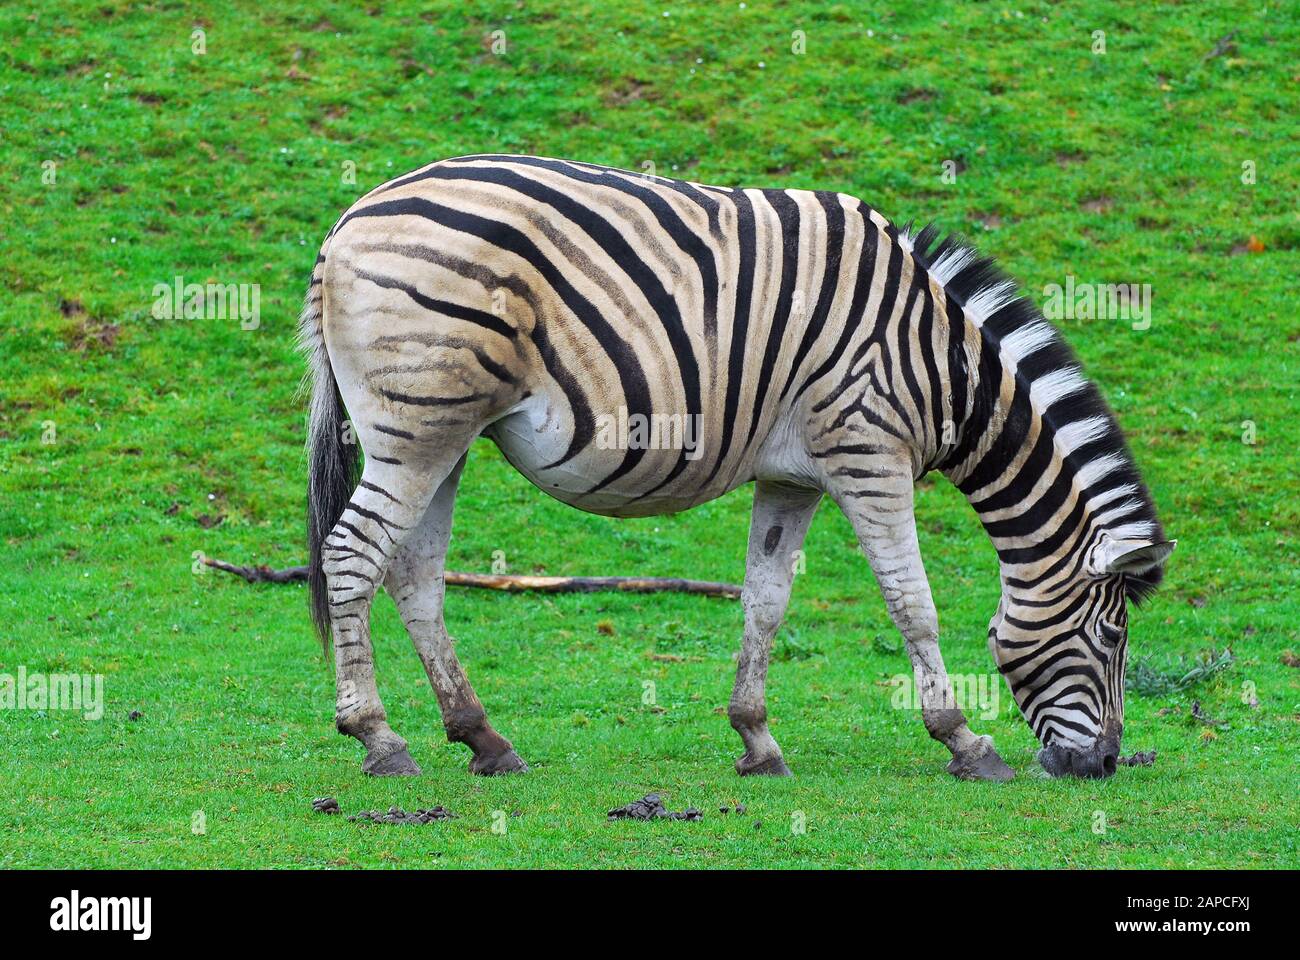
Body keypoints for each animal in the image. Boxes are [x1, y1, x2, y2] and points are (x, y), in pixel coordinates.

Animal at [300, 154, 1175, 782]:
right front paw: (965, 741)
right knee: (351, 556)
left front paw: (758, 741)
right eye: (1111, 636)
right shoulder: (868, 451)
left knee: (413, 573)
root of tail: (348, 220)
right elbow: (912, 602)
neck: (938, 363)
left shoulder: (793, 477)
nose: (1101, 766)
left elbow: (765, 601)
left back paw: (482, 737)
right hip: (420, 424)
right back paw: (379, 739)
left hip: (443, 435)